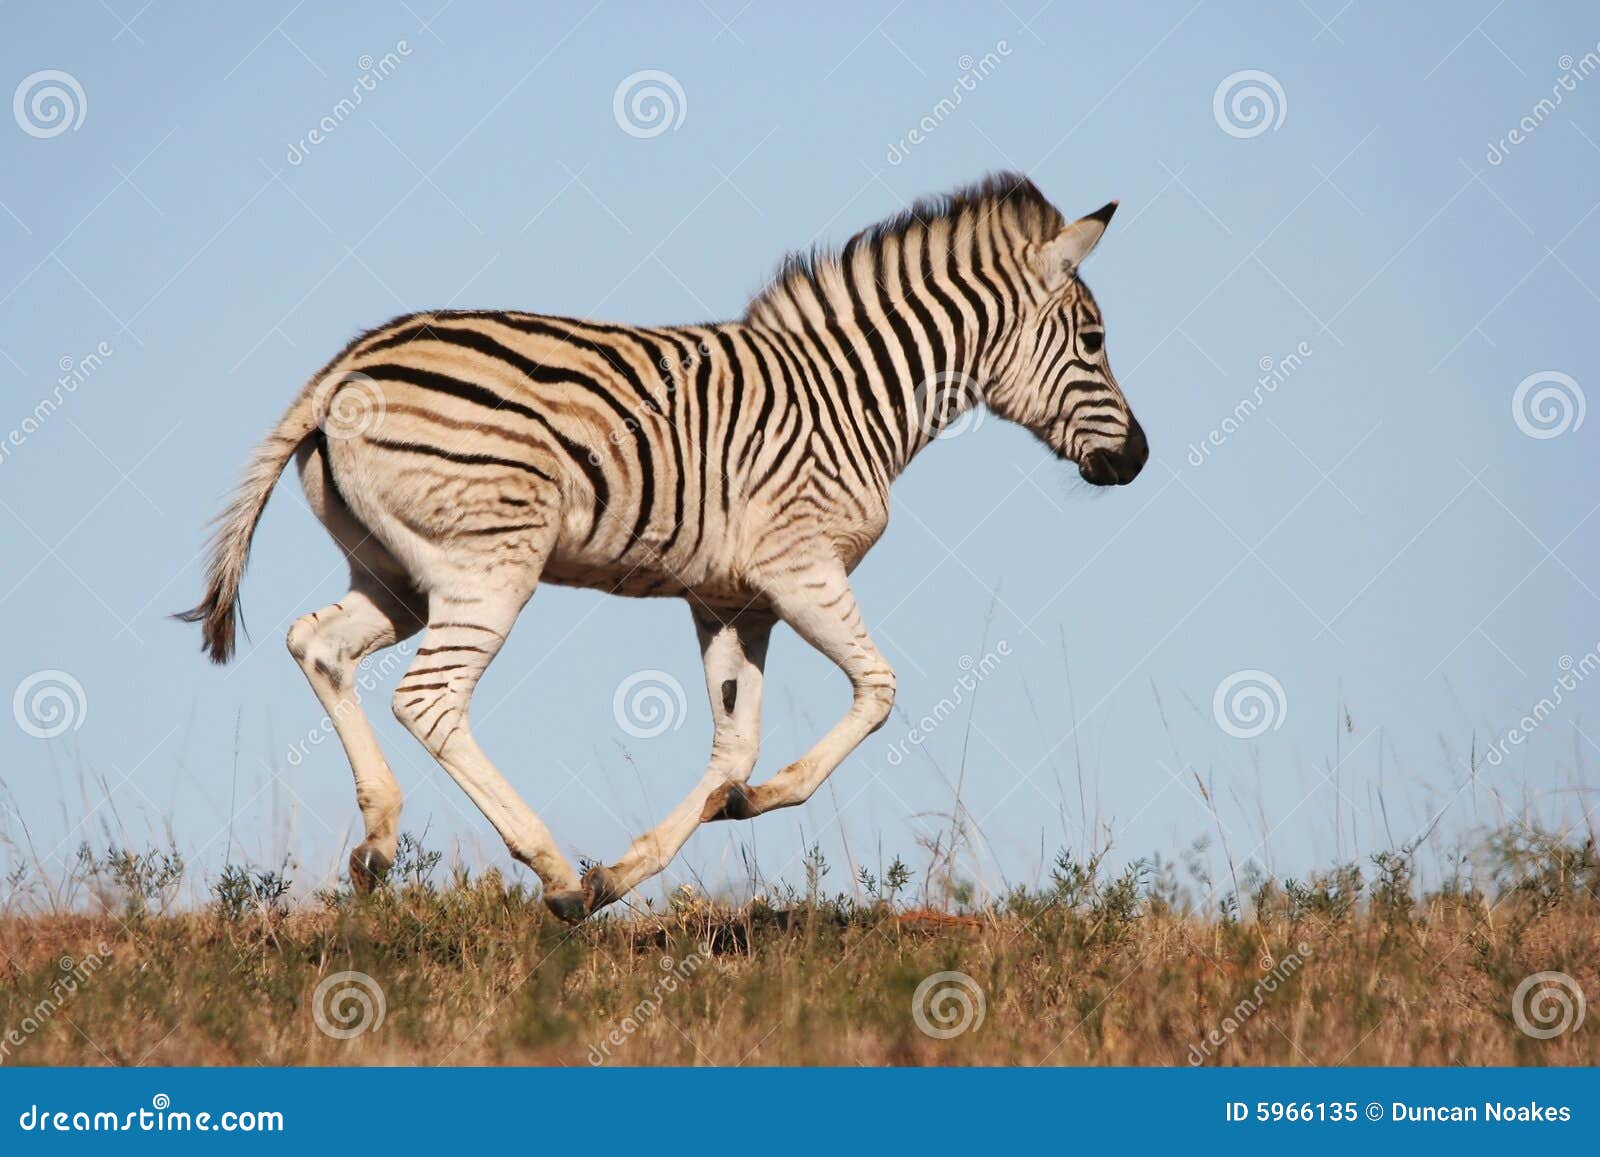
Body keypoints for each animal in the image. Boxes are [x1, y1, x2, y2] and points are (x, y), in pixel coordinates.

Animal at [179, 171, 1147, 921]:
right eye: (1095, 341)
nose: (1138, 459)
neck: (853, 397)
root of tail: (343, 368)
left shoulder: (732, 599)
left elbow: (733, 749)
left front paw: (650, 855)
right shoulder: (800, 566)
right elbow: (877, 692)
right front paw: (723, 818)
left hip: (400, 572)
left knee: (318, 643)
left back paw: (380, 842)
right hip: (493, 562)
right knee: (428, 698)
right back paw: (551, 870)